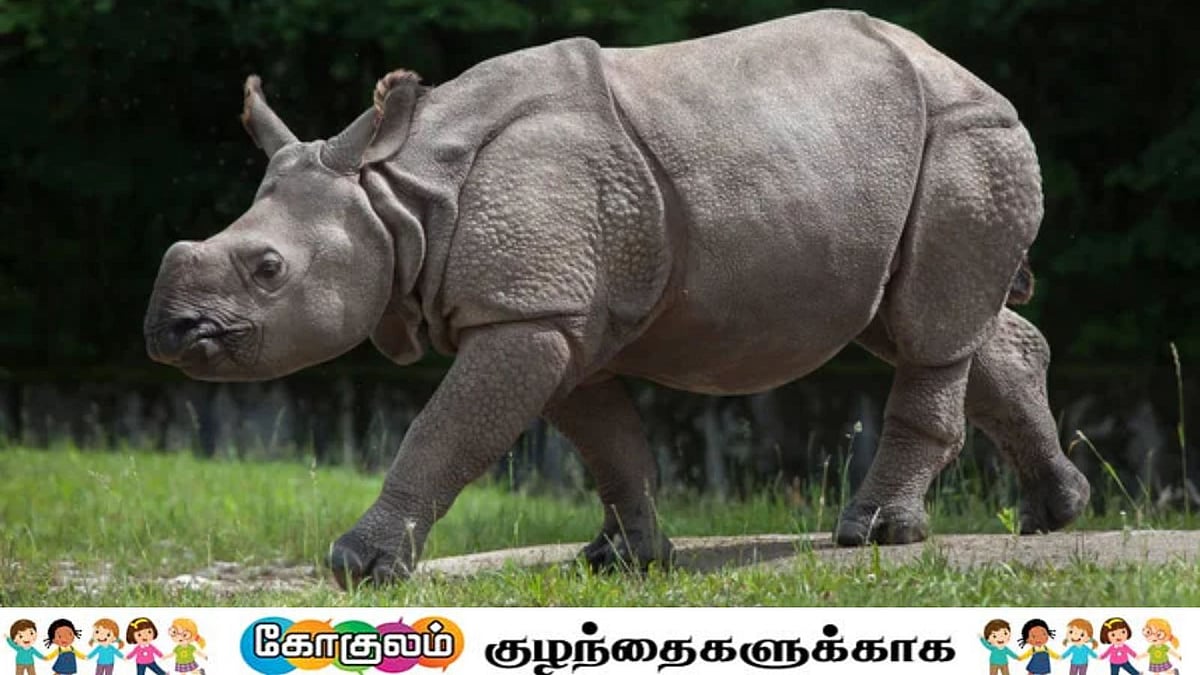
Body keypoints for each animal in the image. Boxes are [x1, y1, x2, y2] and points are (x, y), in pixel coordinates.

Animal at [144, 9, 1090, 586]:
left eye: (268, 269)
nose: (168, 333)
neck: (396, 194)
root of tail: (971, 74)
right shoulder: (561, 315)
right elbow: (609, 442)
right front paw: (625, 558)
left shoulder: (528, 310)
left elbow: (441, 430)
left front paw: (357, 567)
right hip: (903, 153)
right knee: (932, 321)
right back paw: (1056, 513)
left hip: (967, 133)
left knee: (929, 327)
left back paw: (874, 535)